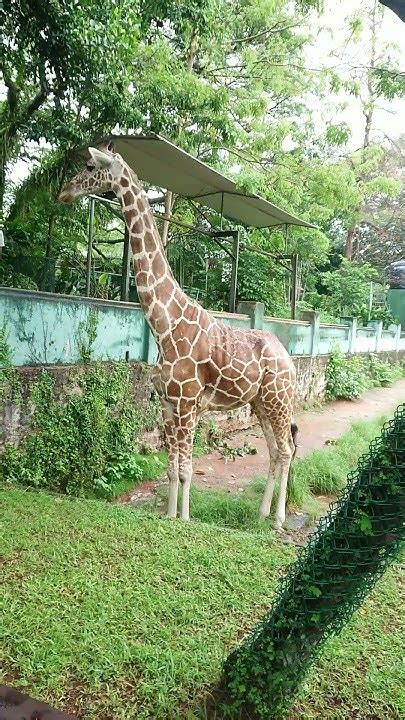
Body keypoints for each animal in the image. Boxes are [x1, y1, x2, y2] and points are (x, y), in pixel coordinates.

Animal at [58, 144, 298, 529]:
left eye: (91, 166)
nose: (64, 192)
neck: (164, 325)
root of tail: (288, 358)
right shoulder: (168, 405)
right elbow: (172, 470)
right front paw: (170, 516)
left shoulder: (186, 405)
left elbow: (186, 470)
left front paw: (183, 522)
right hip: (261, 403)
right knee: (275, 451)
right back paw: (261, 514)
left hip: (279, 400)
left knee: (287, 449)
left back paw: (277, 520)